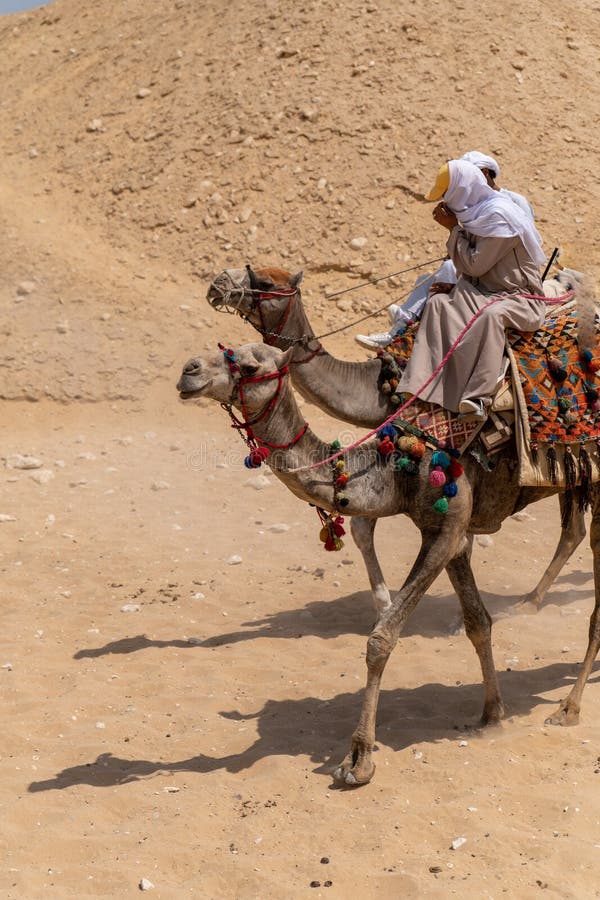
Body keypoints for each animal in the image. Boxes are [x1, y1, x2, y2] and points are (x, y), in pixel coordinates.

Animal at [177, 341, 600, 786]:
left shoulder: (446, 528)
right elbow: (478, 623)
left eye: (248, 365)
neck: (400, 465)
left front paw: (358, 759)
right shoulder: (452, 533)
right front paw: (492, 716)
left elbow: (382, 639)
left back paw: (568, 707)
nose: (189, 371)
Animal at [206, 264, 587, 610]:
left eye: (266, 282)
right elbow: (361, 526)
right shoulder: (392, 440)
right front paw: (384, 602)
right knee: (575, 530)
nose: (217, 284)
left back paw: (531, 602)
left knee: (573, 530)